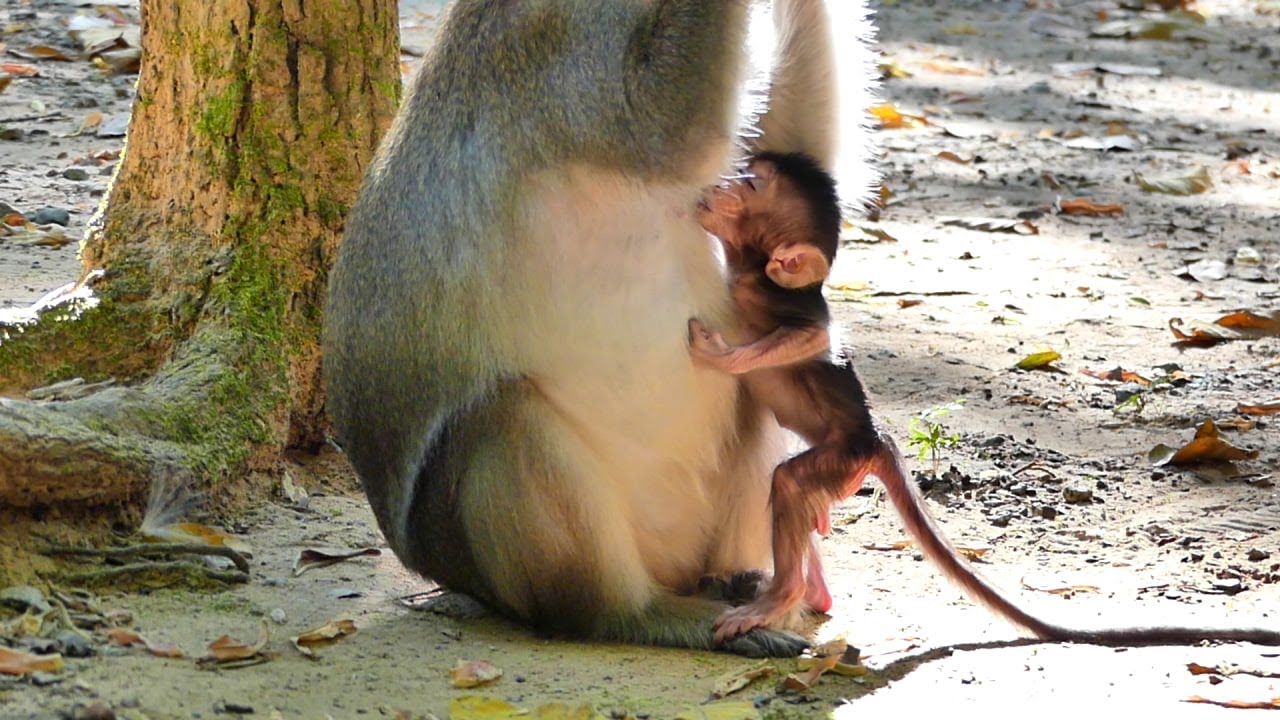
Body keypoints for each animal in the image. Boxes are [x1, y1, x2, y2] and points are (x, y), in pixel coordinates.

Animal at [322, 0, 881, 658]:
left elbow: (788, 159)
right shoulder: (556, 52)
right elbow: (666, 126)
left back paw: (746, 584)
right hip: (481, 550)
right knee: (502, 417)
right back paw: (642, 615)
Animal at [690, 152, 1280, 649]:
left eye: (750, 185)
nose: (716, 185)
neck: (756, 273)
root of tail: (877, 437)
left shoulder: (780, 299)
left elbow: (815, 337)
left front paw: (722, 357)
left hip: (841, 457)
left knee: (791, 483)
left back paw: (785, 596)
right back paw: (811, 592)